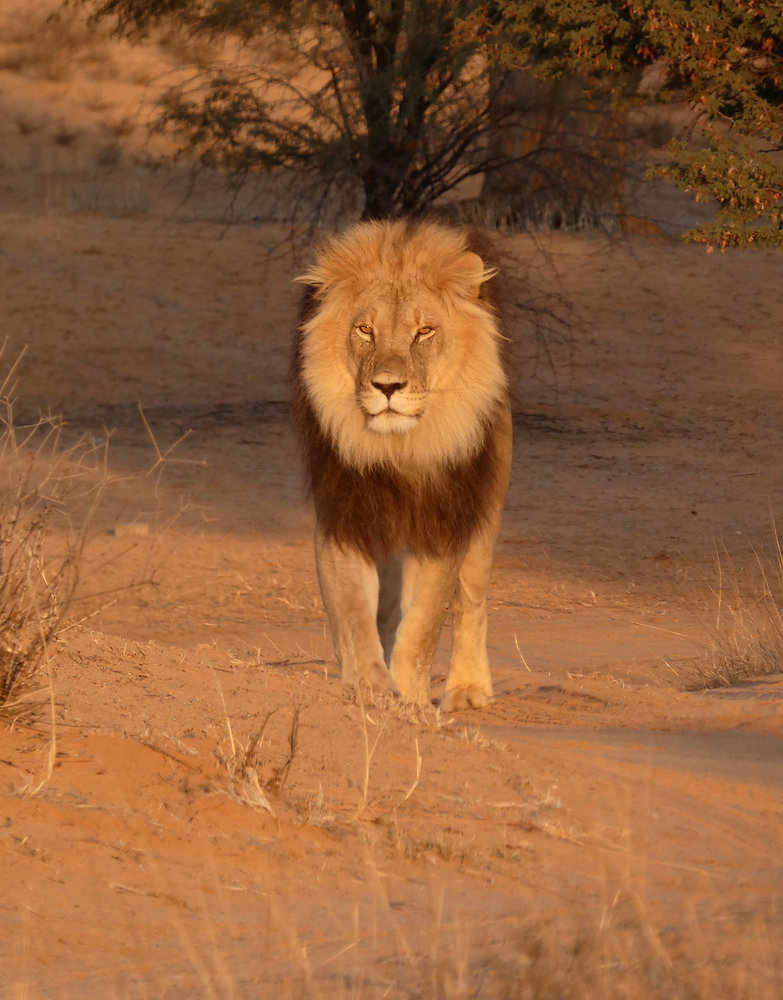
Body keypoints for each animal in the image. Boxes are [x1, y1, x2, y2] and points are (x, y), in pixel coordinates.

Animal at [291, 218, 512, 710]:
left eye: (424, 332)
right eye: (365, 330)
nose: (388, 386)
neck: (398, 452)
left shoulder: (443, 523)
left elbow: (424, 626)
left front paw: (410, 699)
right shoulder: (343, 516)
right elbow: (354, 614)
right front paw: (369, 687)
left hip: (488, 507)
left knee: (471, 601)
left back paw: (468, 690)